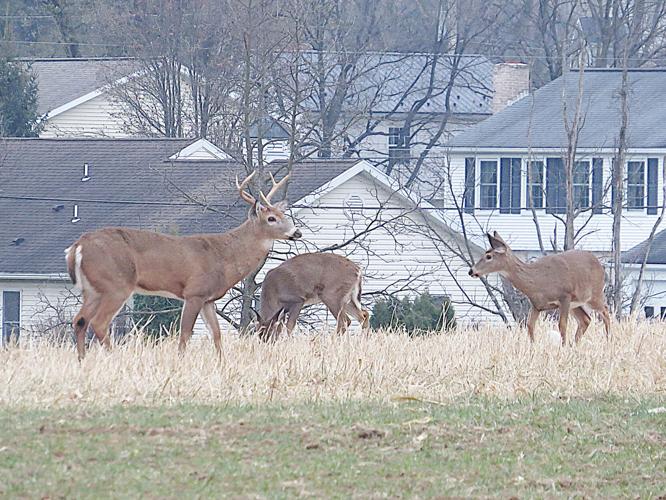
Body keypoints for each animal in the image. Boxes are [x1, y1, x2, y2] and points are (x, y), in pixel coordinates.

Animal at [65, 171, 301, 360]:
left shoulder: (208, 299)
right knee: (99, 323)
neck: (224, 256)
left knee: (80, 320)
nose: (297, 232)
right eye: (271, 218)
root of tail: (78, 246)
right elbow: (185, 333)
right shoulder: (193, 293)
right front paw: (180, 361)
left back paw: (82, 360)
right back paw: (115, 359)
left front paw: (221, 363)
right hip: (116, 285)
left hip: (93, 290)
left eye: (284, 215)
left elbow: (216, 333)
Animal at [468, 232, 611, 345]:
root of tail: (600, 264)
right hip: (576, 304)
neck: (538, 283)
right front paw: (533, 347)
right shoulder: (536, 305)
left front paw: (563, 347)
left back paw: (608, 340)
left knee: (605, 311)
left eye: (489, 256)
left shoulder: (565, 296)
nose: (471, 271)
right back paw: (575, 344)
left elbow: (562, 325)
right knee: (586, 320)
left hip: (594, 295)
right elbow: (530, 326)